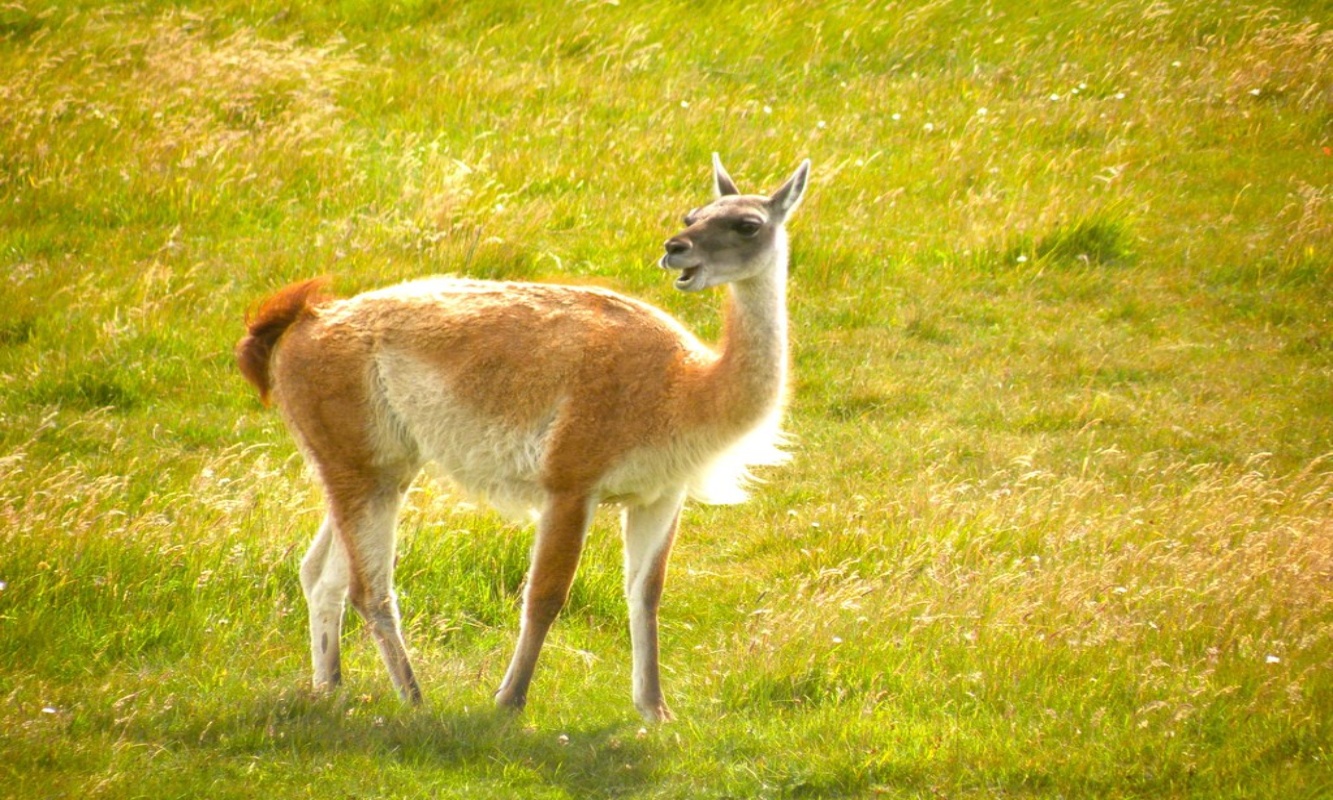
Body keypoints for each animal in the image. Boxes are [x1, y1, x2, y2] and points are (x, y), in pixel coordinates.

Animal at [235, 154, 810, 722]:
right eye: (692, 216)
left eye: (747, 224)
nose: (675, 248)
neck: (685, 389)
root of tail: (306, 319)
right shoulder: (571, 480)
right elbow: (546, 596)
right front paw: (509, 700)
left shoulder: (659, 494)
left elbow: (646, 595)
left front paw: (654, 710)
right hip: (359, 458)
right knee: (369, 588)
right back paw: (413, 699)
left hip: (370, 462)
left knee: (319, 574)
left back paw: (330, 688)